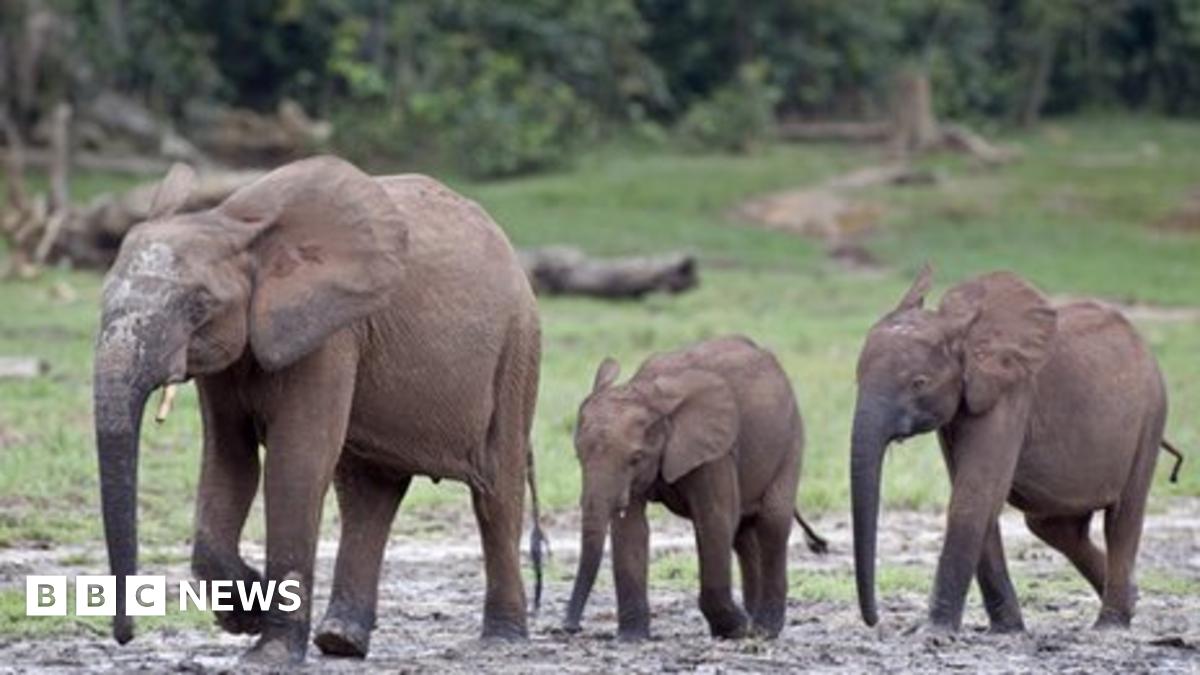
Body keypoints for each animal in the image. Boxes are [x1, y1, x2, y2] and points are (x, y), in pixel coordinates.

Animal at [92, 156, 542, 664]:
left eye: (199, 303)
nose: (125, 636)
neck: (236, 226)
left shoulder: (330, 332)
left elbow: (297, 461)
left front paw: (267, 655)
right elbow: (229, 460)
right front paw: (246, 612)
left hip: (517, 348)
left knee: (496, 492)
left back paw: (501, 639)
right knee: (368, 493)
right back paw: (340, 641)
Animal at [562, 336, 827, 640]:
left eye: (635, 458)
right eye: (578, 455)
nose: (570, 627)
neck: (649, 394)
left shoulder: (715, 452)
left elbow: (714, 518)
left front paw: (735, 629)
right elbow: (631, 529)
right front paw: (631, 638)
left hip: (791, 440)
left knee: (772, 522)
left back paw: (762, 629)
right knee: (744, 533)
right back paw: (753, 622)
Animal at [850, 265, 1182, 634]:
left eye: (918, 383)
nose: (875, 620)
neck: (965, 334)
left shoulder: (1011, 393)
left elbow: (974, 494)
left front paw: (932, 632)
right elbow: (980, 496)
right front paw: (1006, 630)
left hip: (1151, 416)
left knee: (1122, 517)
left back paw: (1111, 624)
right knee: (1055, 528)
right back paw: (1134, 600)